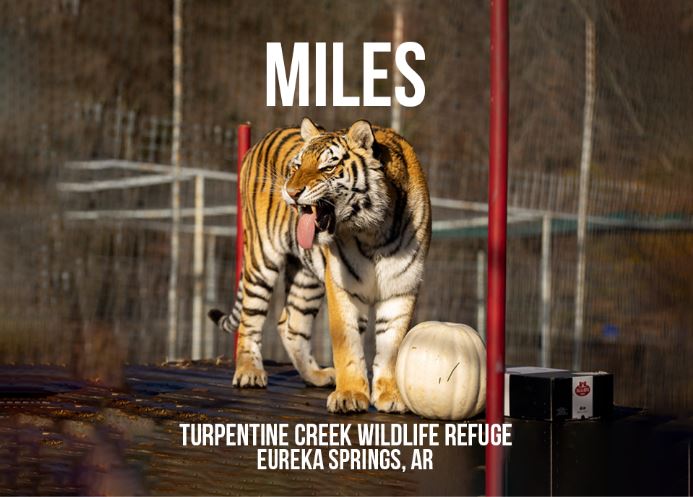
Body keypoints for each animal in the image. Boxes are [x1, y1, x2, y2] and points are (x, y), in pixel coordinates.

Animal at [208, 117, 431, 413]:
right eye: (297, 166)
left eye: (328, 167)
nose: (291, 192)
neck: (372, 230)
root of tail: (261, 139)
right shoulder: (342, 286)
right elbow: (348, 346)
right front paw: (349, 395)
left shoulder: (401, 288)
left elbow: (391, 347)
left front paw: (390, 396)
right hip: (261, 258)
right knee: (250, 319)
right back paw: (249, 373)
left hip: (307, 278)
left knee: (291, 324)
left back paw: (316, 376)